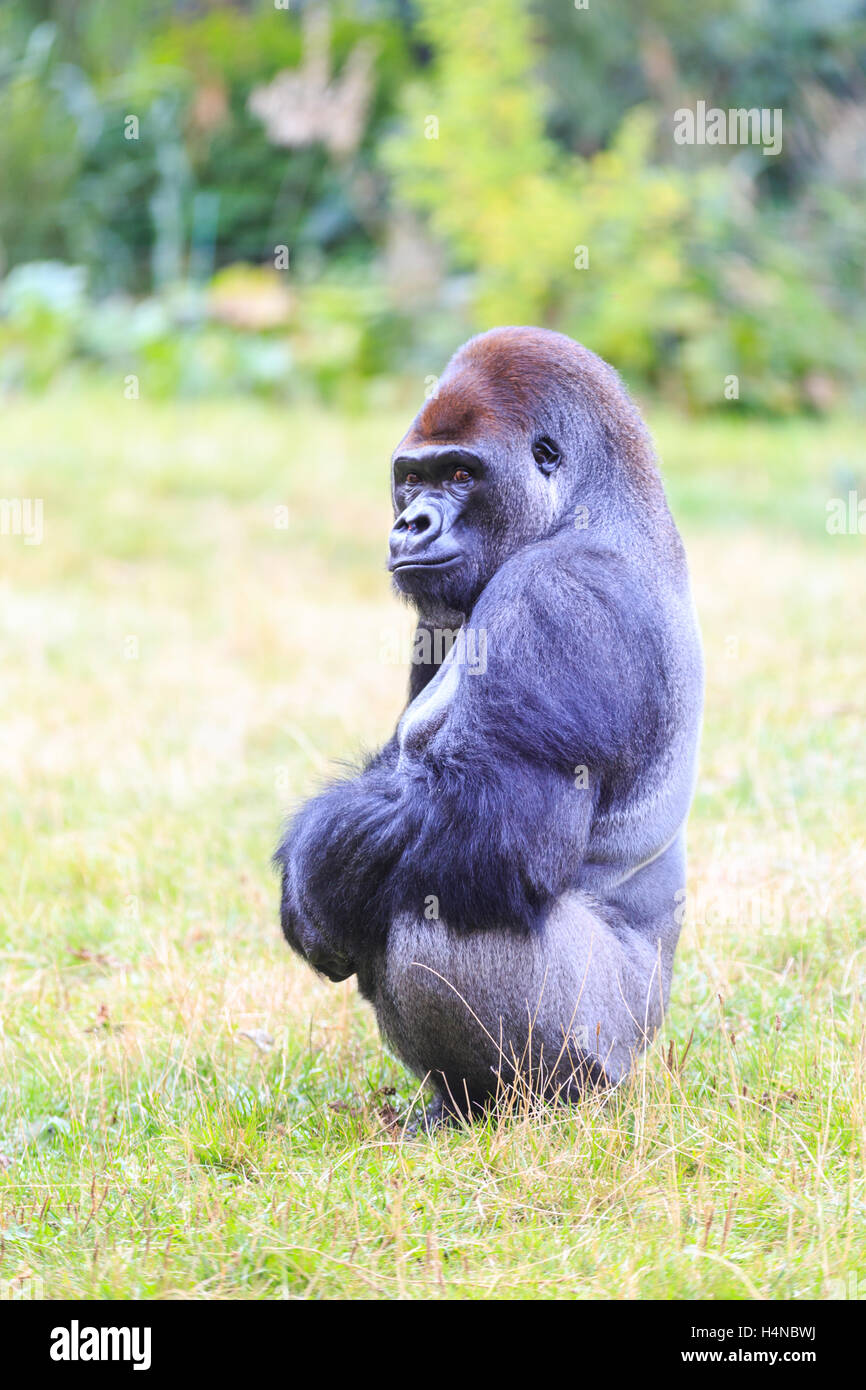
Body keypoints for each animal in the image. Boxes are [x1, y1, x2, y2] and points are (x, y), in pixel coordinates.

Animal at [275, 326, 703, 1127]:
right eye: (412, 478)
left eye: (461, 473)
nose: (410, 522)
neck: (592, 507)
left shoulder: (560, 598)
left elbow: (495, 828)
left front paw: (308, 879)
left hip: (606, 1045)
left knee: (435, 904)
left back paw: (520, 1106)